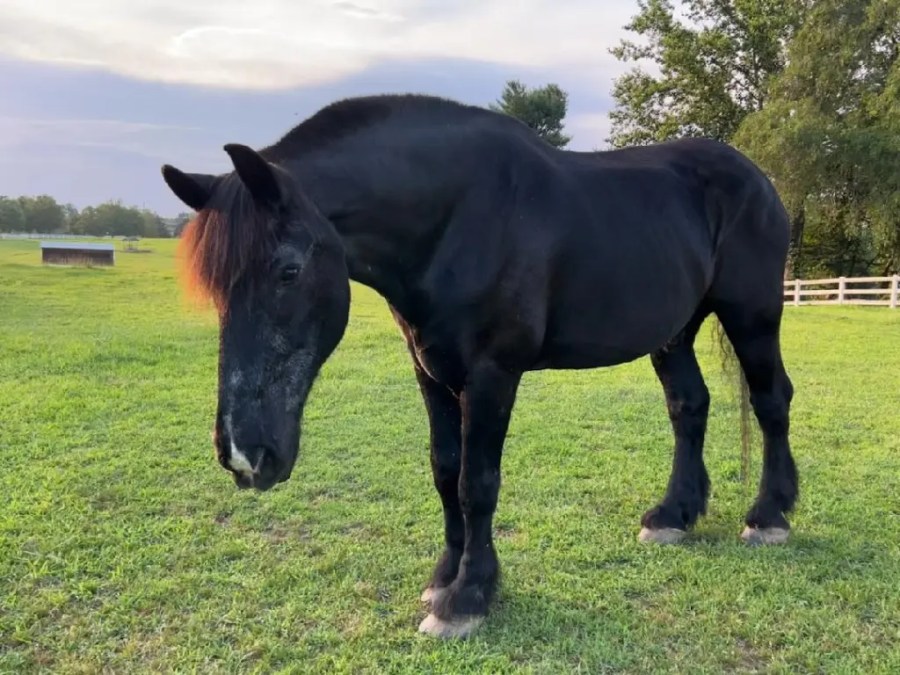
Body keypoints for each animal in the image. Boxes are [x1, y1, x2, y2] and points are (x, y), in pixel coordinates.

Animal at [161, 93, 799, 639]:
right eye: (216, 289)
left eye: (288, 271)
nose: (244, 455)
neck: (457, 218)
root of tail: (757, 178)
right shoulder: (431, 371)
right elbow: (445, 470)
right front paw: (445, 575)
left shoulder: (493, 373)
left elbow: (477, 482)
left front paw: (467, 597)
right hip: (675, 332)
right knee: (689, 406)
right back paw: (673, 515)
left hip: (753, 314)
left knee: (771, 401)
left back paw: (769, 516)